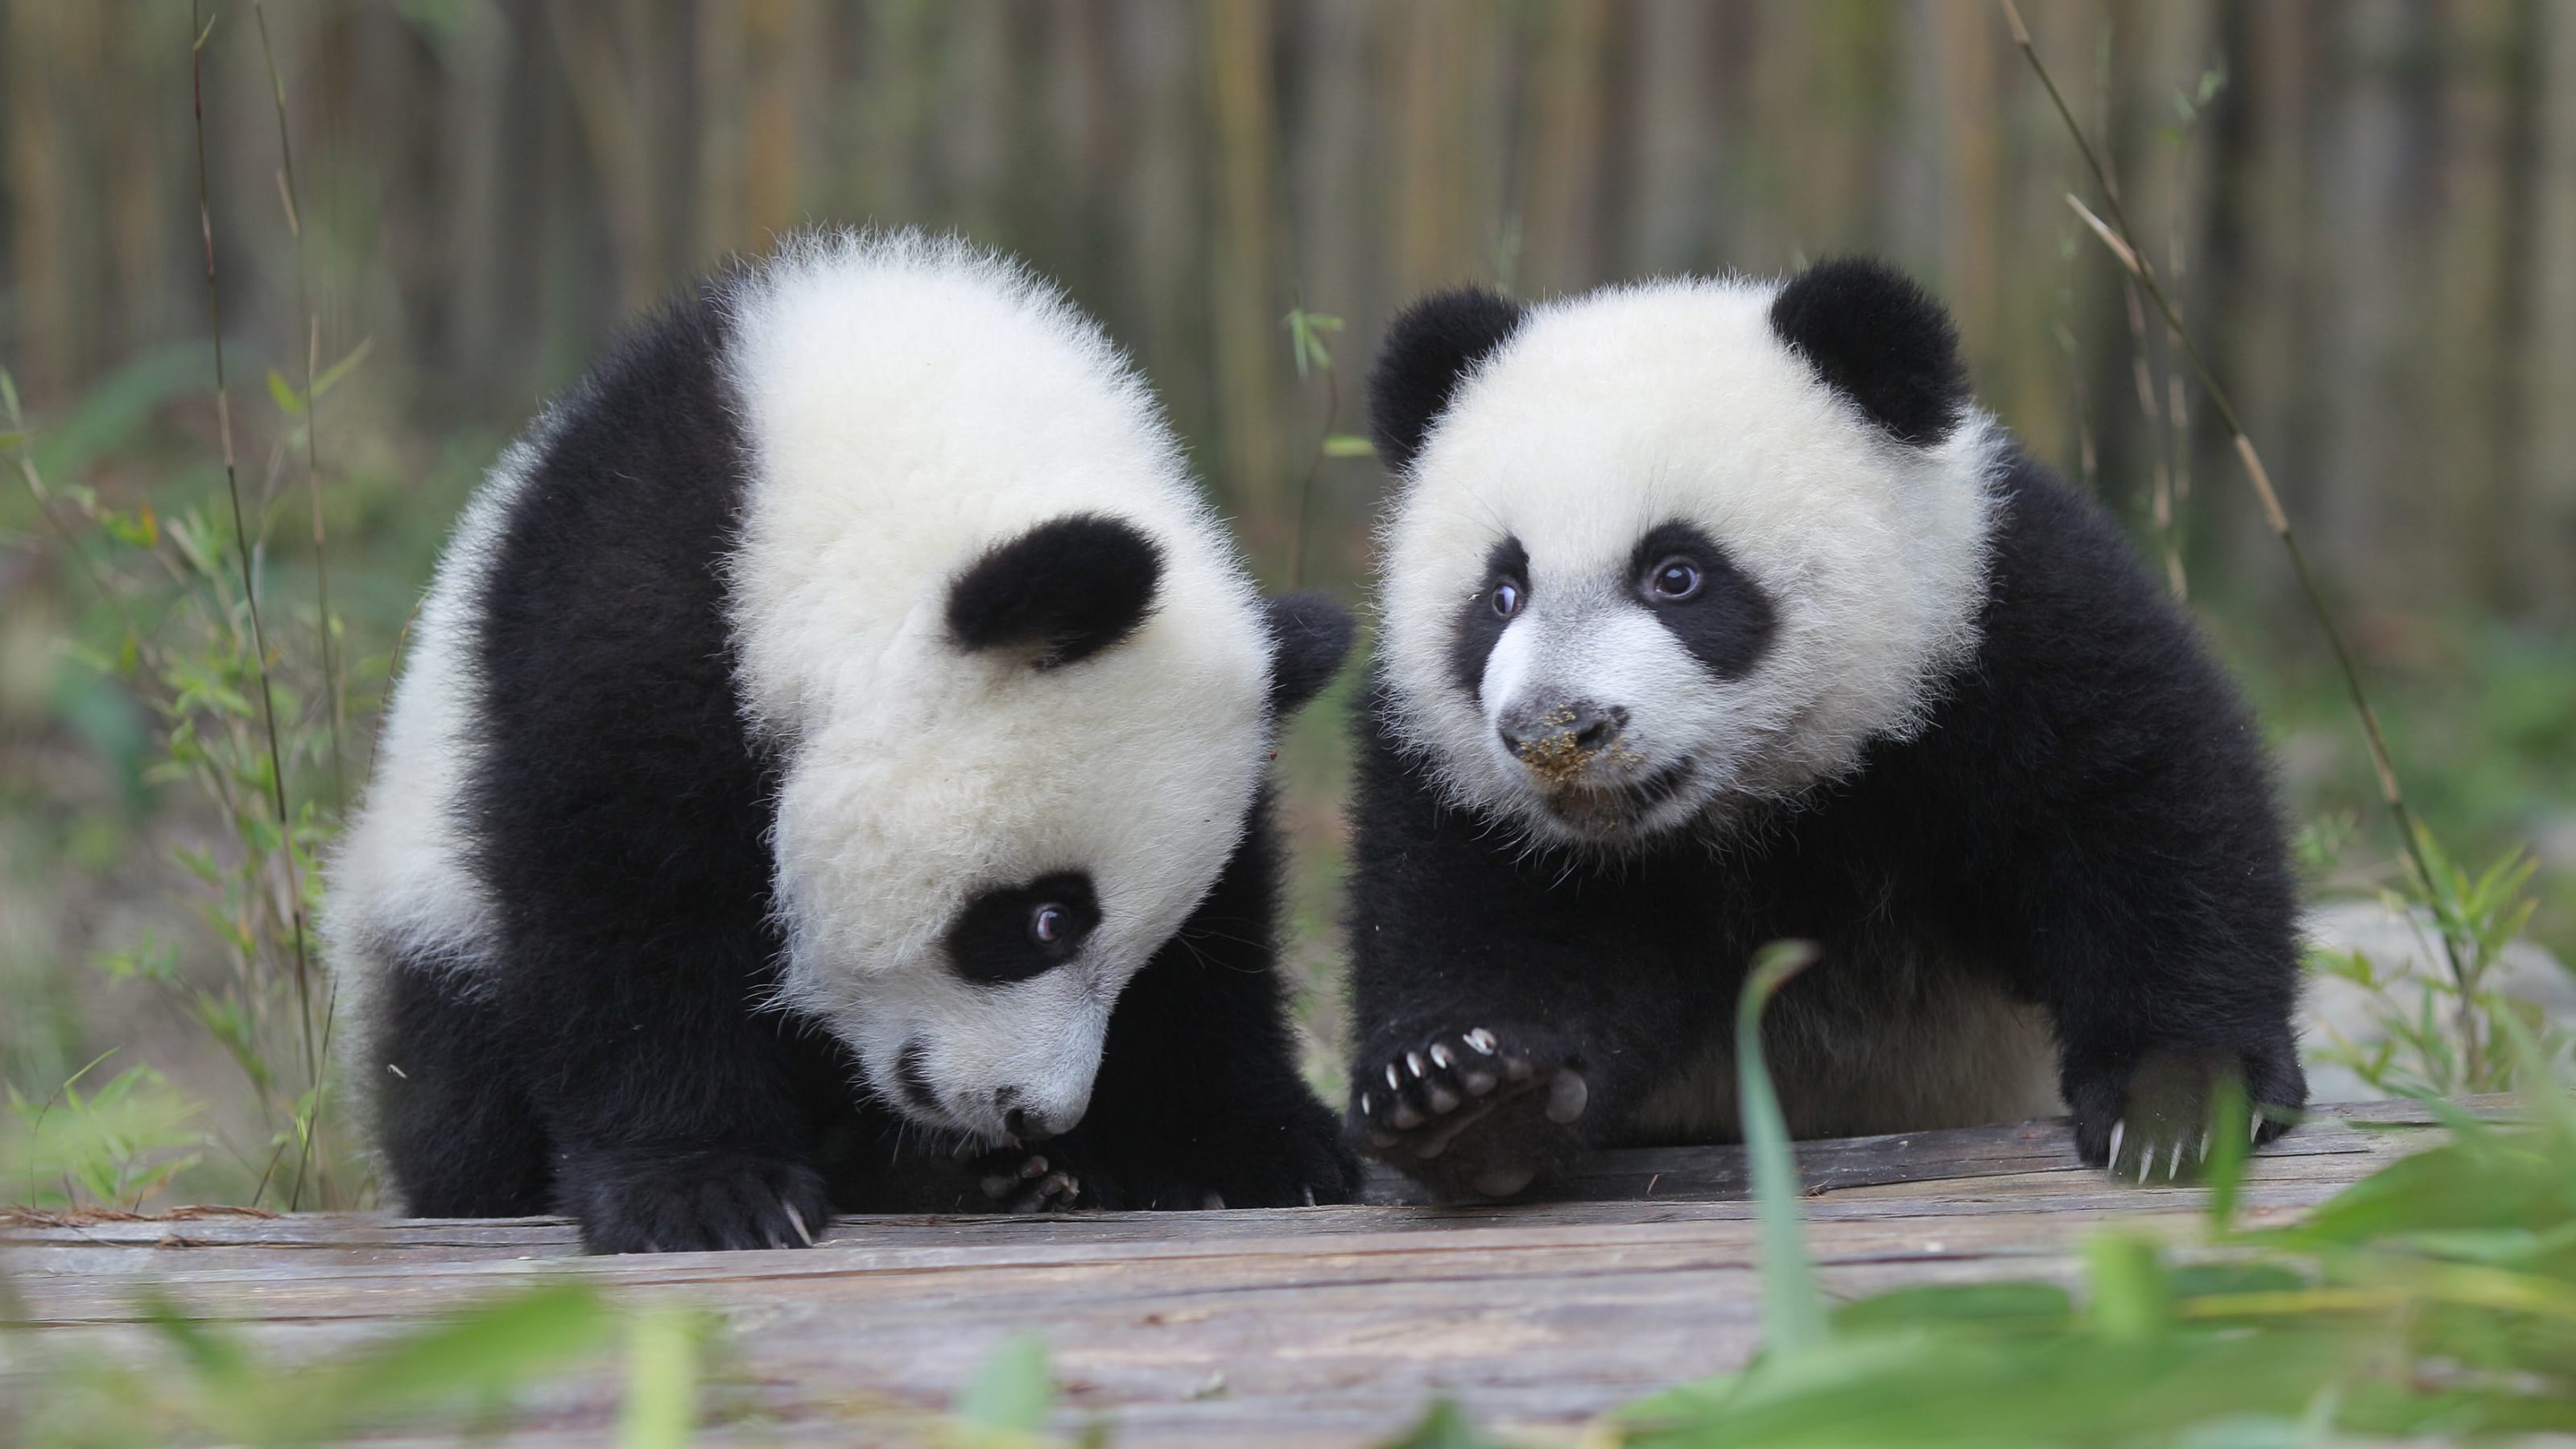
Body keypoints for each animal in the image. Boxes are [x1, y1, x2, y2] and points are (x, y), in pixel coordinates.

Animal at [324, 231, 1358, 1252]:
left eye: (1145, 942)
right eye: (1046, 921)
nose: (1035, 1110)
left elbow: (1225, 942)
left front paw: (1256, 1146)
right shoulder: (645, 591)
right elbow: (622, 889)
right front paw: (706, 1188)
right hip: (428, 917)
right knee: (461, 1090)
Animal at [1343, 260, 2307, 1201]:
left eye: (1677, 575)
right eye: (1501, 594)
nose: (1553, 730)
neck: (1762, 805)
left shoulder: (1996, 628)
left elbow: (2135, 811)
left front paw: (2178, 1099)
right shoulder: (1448, 778)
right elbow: (1484, 921)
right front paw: (1466, 1098)